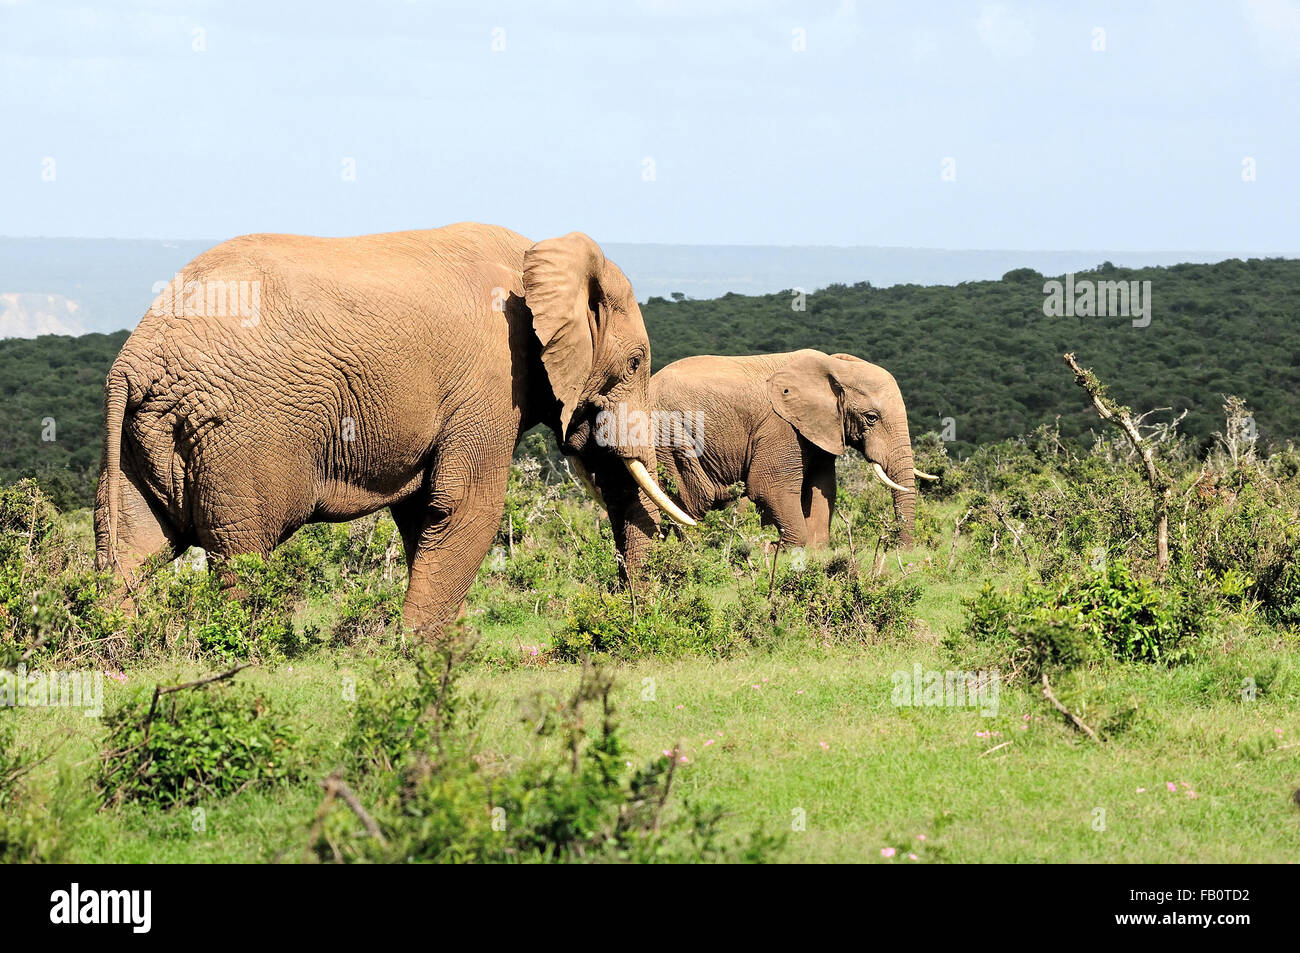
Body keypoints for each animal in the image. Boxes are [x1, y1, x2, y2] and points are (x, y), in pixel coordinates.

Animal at [94, 222, 694, 636]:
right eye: (636, 363)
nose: (632, 615)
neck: (536, 254)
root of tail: (137, 357)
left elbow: (422, 511)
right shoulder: (491, 377)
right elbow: (466, 506)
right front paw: (421, 650)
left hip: (144, 432)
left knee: (130, 547)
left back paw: (116, 647)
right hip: (240, 434)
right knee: (241, 550)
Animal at [597, 349, 934, 574]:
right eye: (871, 417)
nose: (901, 552)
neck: (834, 366)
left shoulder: (818, 429)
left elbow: (823, 487)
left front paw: (812, 550)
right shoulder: (780, 427)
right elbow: (771, 488)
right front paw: (774, 550)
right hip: (667, 437)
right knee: (691, 499)